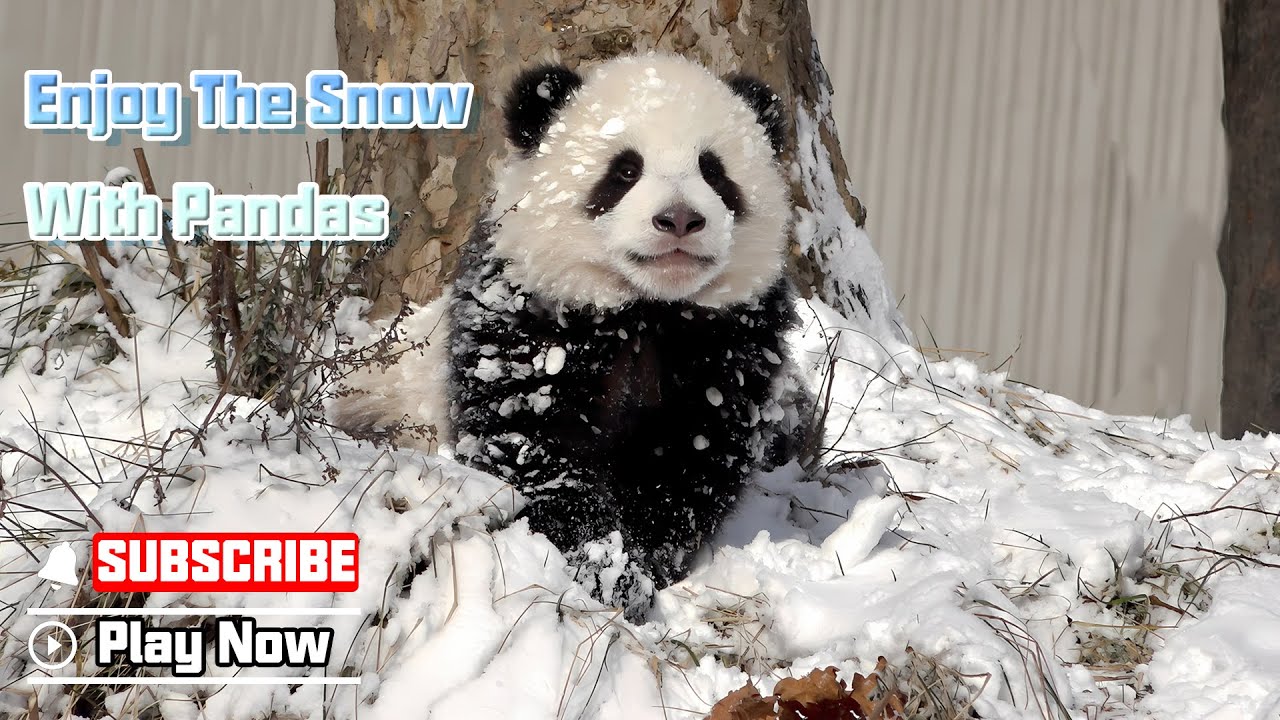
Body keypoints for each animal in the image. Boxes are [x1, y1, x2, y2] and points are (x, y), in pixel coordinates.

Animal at [338, 54, 811, 619]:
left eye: (714, 170)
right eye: (625, 170)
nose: (679, 219)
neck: (646, 306)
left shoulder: (727, 341)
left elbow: (689, 459)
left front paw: (636, 567)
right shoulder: (526, 312)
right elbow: (535, 443)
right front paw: (600, 567)